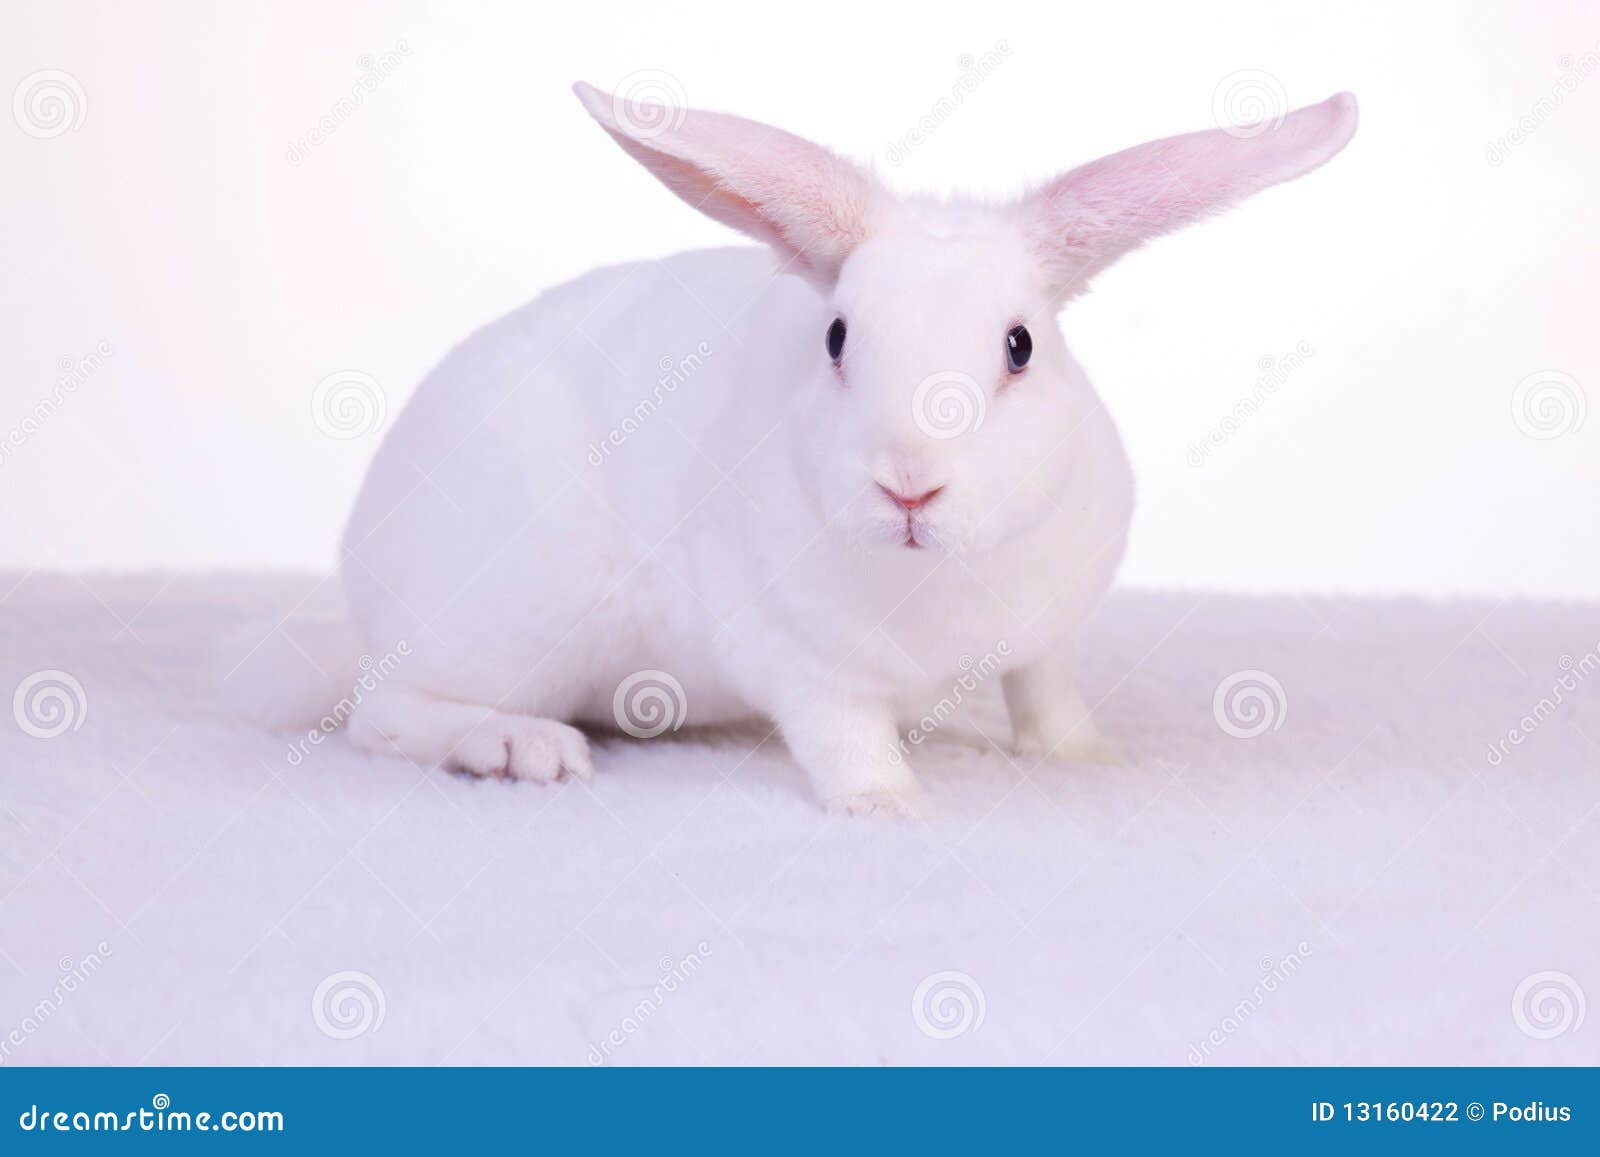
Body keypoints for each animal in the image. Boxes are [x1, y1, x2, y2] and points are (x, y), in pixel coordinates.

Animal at [284, 82, 1357, 816]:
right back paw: (521, 749)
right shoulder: (802, 664)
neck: (941, 578)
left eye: (1020, 346)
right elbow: (847, 741)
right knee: (386, 712)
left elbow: (1048, 699)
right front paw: (891, 806)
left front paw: (1085, 760)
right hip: (510, 626)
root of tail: (362, 555)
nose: (909, 486)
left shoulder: (1047, 642)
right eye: (837, 338)